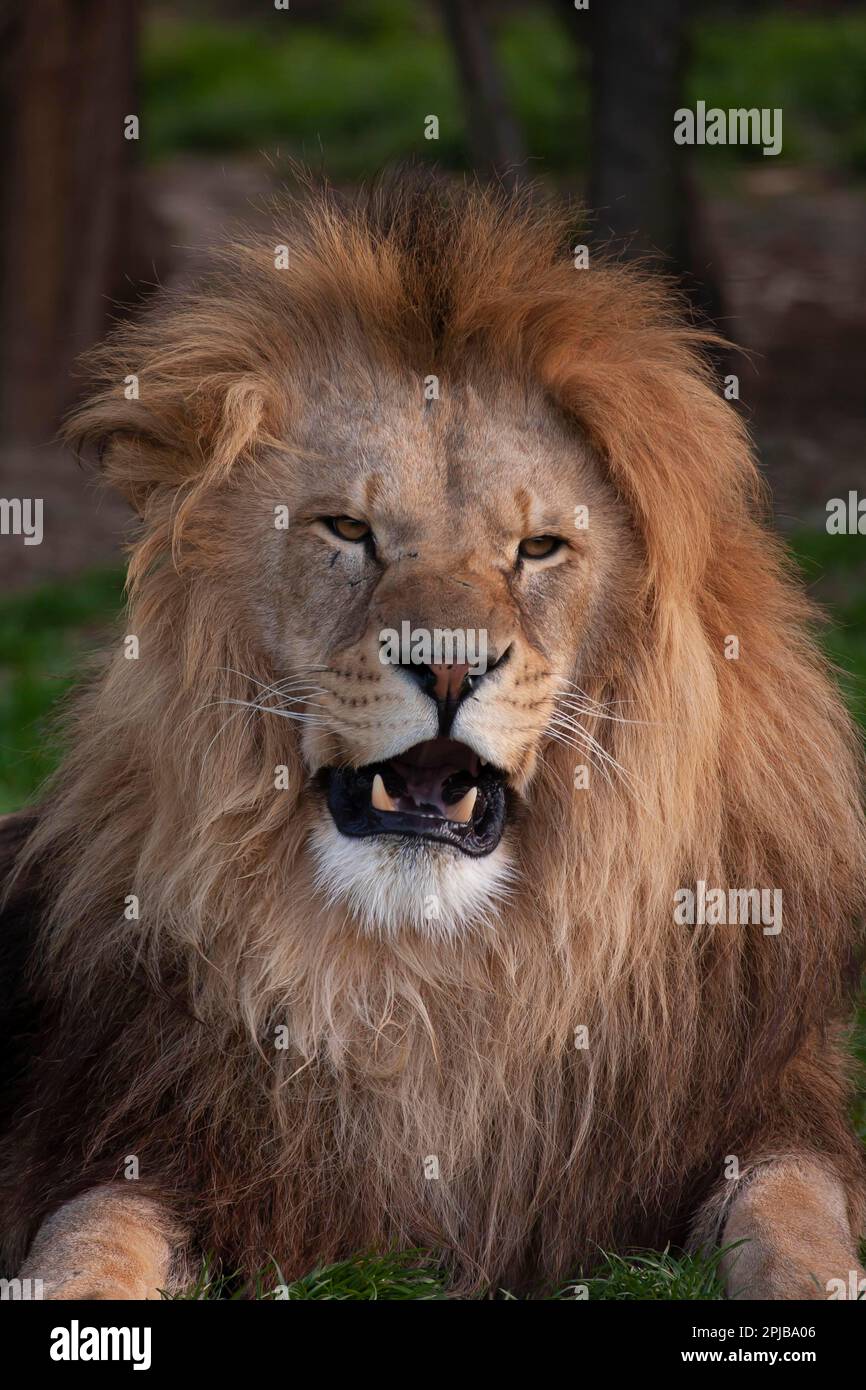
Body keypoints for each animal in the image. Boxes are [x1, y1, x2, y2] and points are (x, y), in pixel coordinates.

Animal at [1, 176, 864, 1300]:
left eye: (537, 547)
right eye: (346, 530)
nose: (448, 666)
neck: (426, 975)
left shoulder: (760, 1111)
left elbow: (796, 1209)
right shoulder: (133, 1136)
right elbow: (90, 1238)